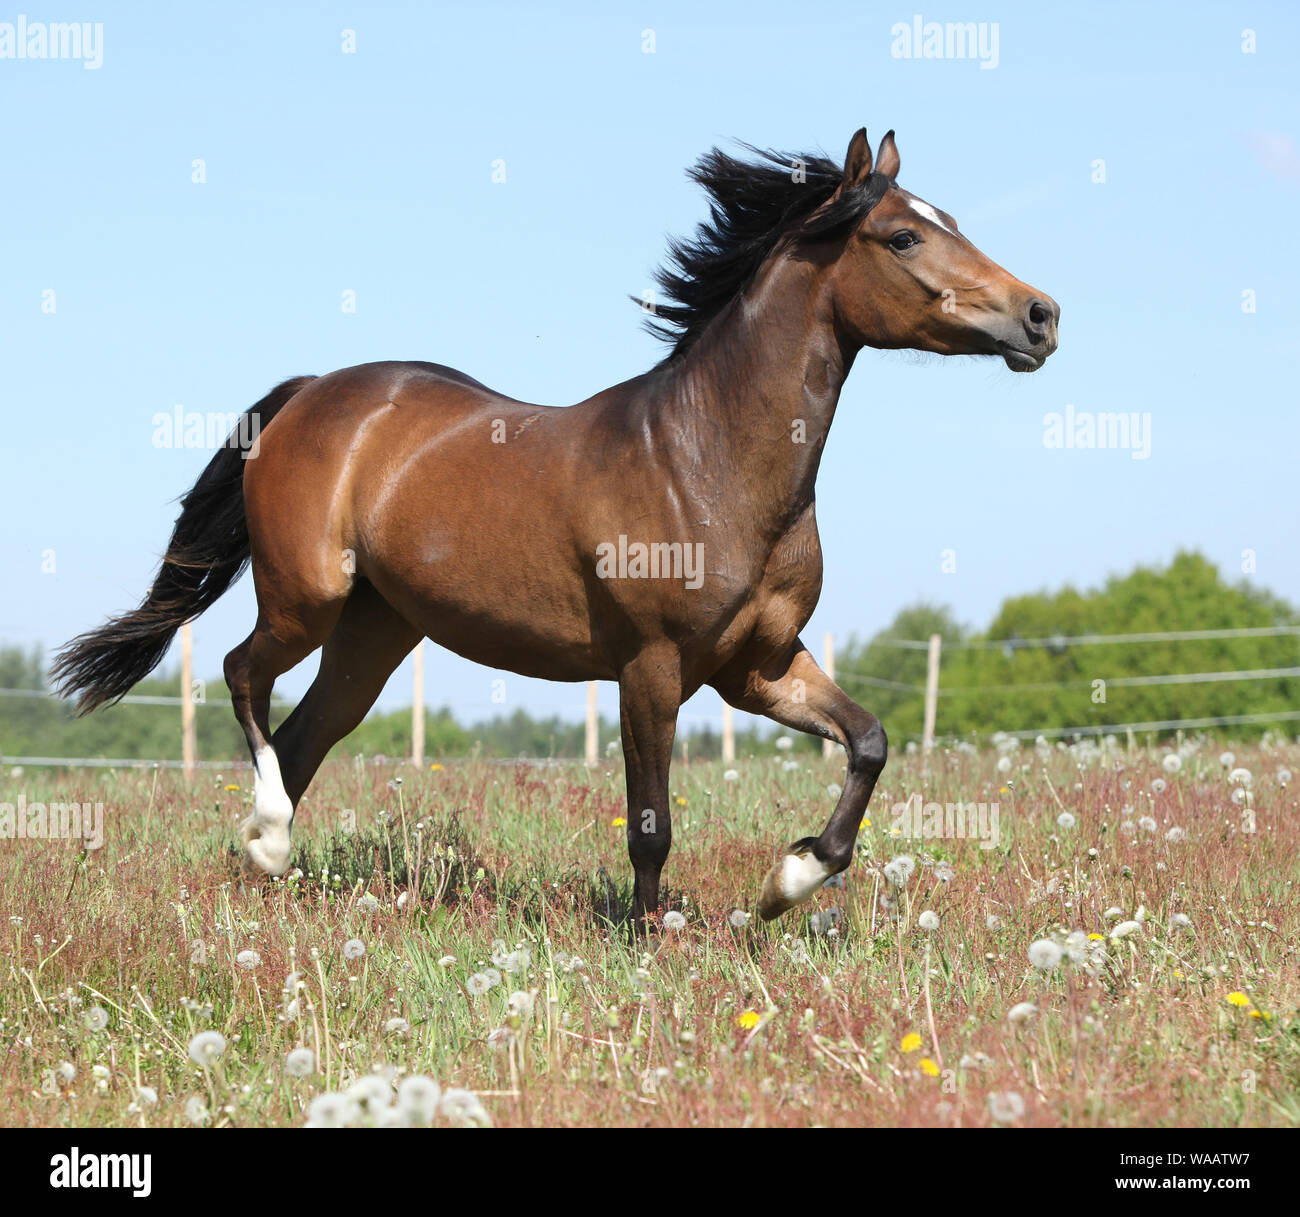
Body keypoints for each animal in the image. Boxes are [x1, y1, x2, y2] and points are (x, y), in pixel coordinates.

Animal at [53, 127, 1059, 924]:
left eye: (950, 217)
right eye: (903, 234)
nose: (1041, 315)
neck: (704, 457)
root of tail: (310, 395)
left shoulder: (758, 666)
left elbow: (870, 739)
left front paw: (790, 880)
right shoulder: (651, 666)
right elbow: (651, 823)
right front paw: (655, 938)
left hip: (375, 633)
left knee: (303, 739)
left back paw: (272, 875)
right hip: (307, 598)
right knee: (240, 674)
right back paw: (265, 838)